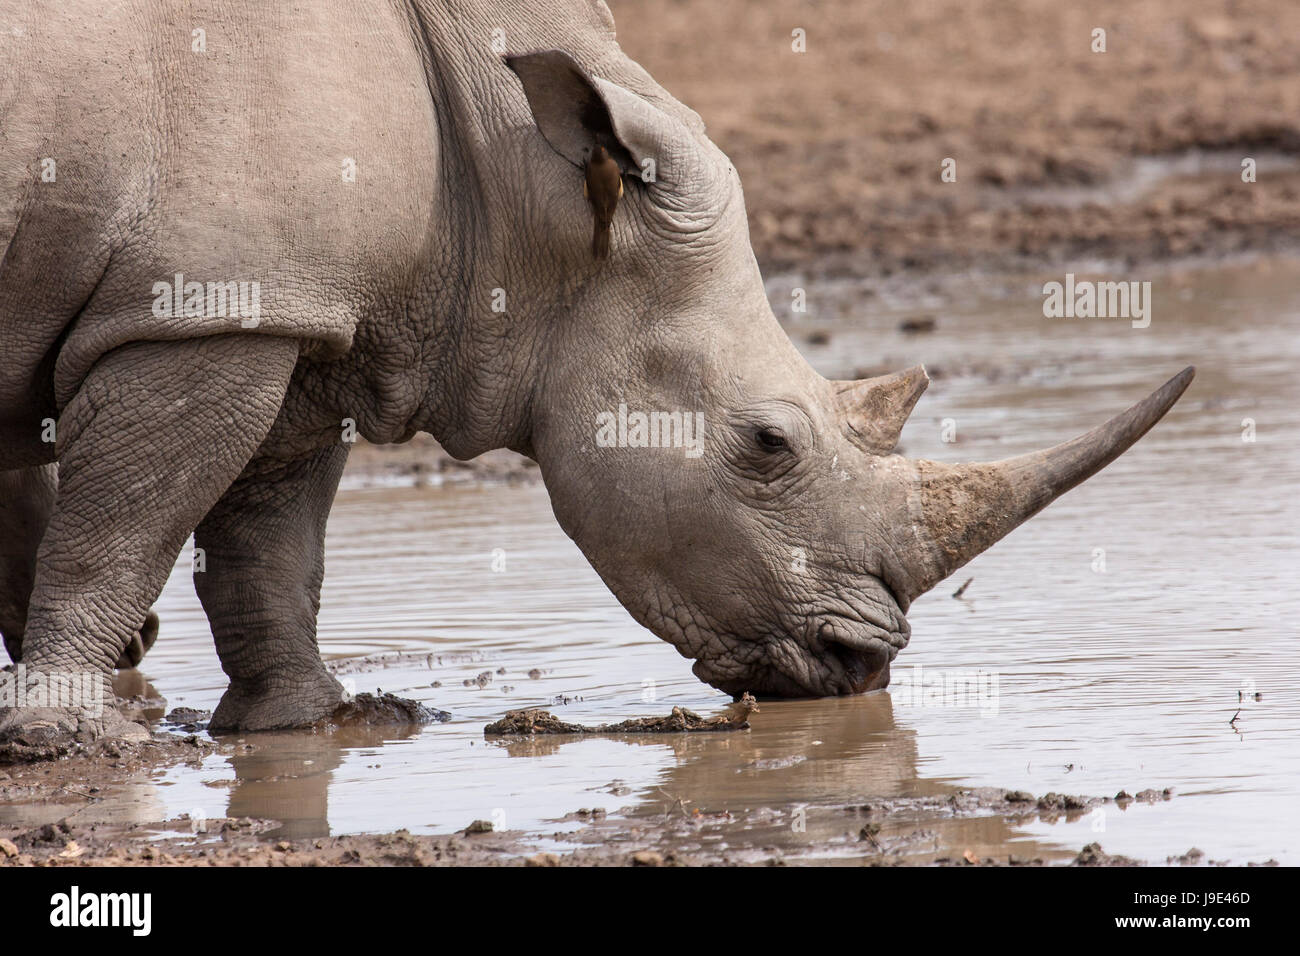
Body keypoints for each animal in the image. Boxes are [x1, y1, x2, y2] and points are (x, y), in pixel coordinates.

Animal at [0, 0, 1192, 750]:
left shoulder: (288, 304)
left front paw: (307, 724)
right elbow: (127, 521)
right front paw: (65, 738)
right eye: (768, 444)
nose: (861, 666)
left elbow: (272, 528)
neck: (517, 185)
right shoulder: (197, 306)